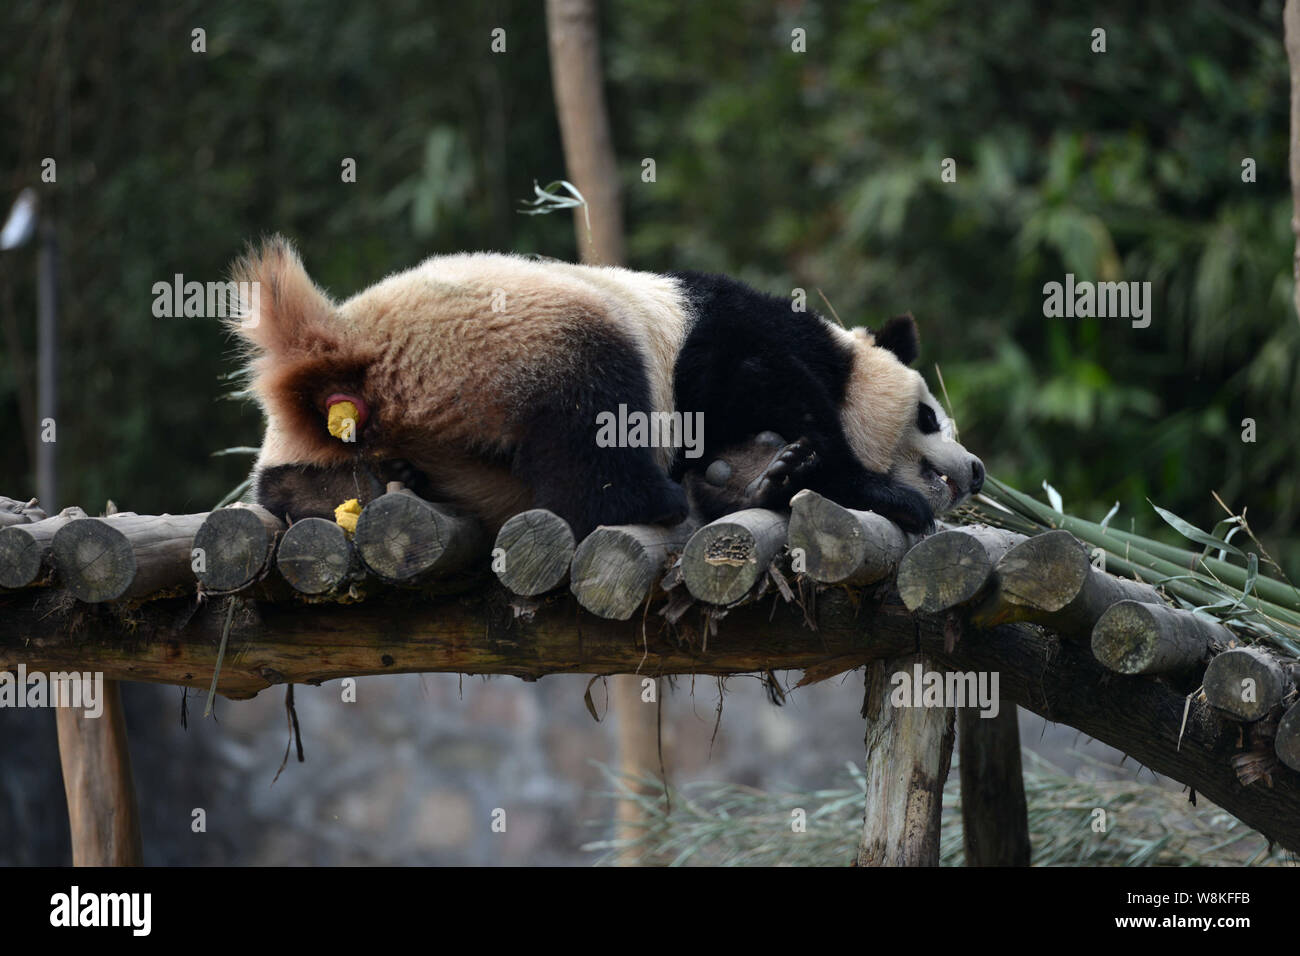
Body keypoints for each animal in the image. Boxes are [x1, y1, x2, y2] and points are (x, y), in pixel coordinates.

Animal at [227, 237, 984, 539]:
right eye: (928, 416)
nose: (976, 470)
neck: (839, 355)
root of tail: (340, 343)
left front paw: (758, 475)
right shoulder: (735, 339)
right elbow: (759, 386)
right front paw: (875, 490)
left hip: (321, 435)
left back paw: (347, 489)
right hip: (506, 335)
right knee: (593, 418)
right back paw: (658, 501)